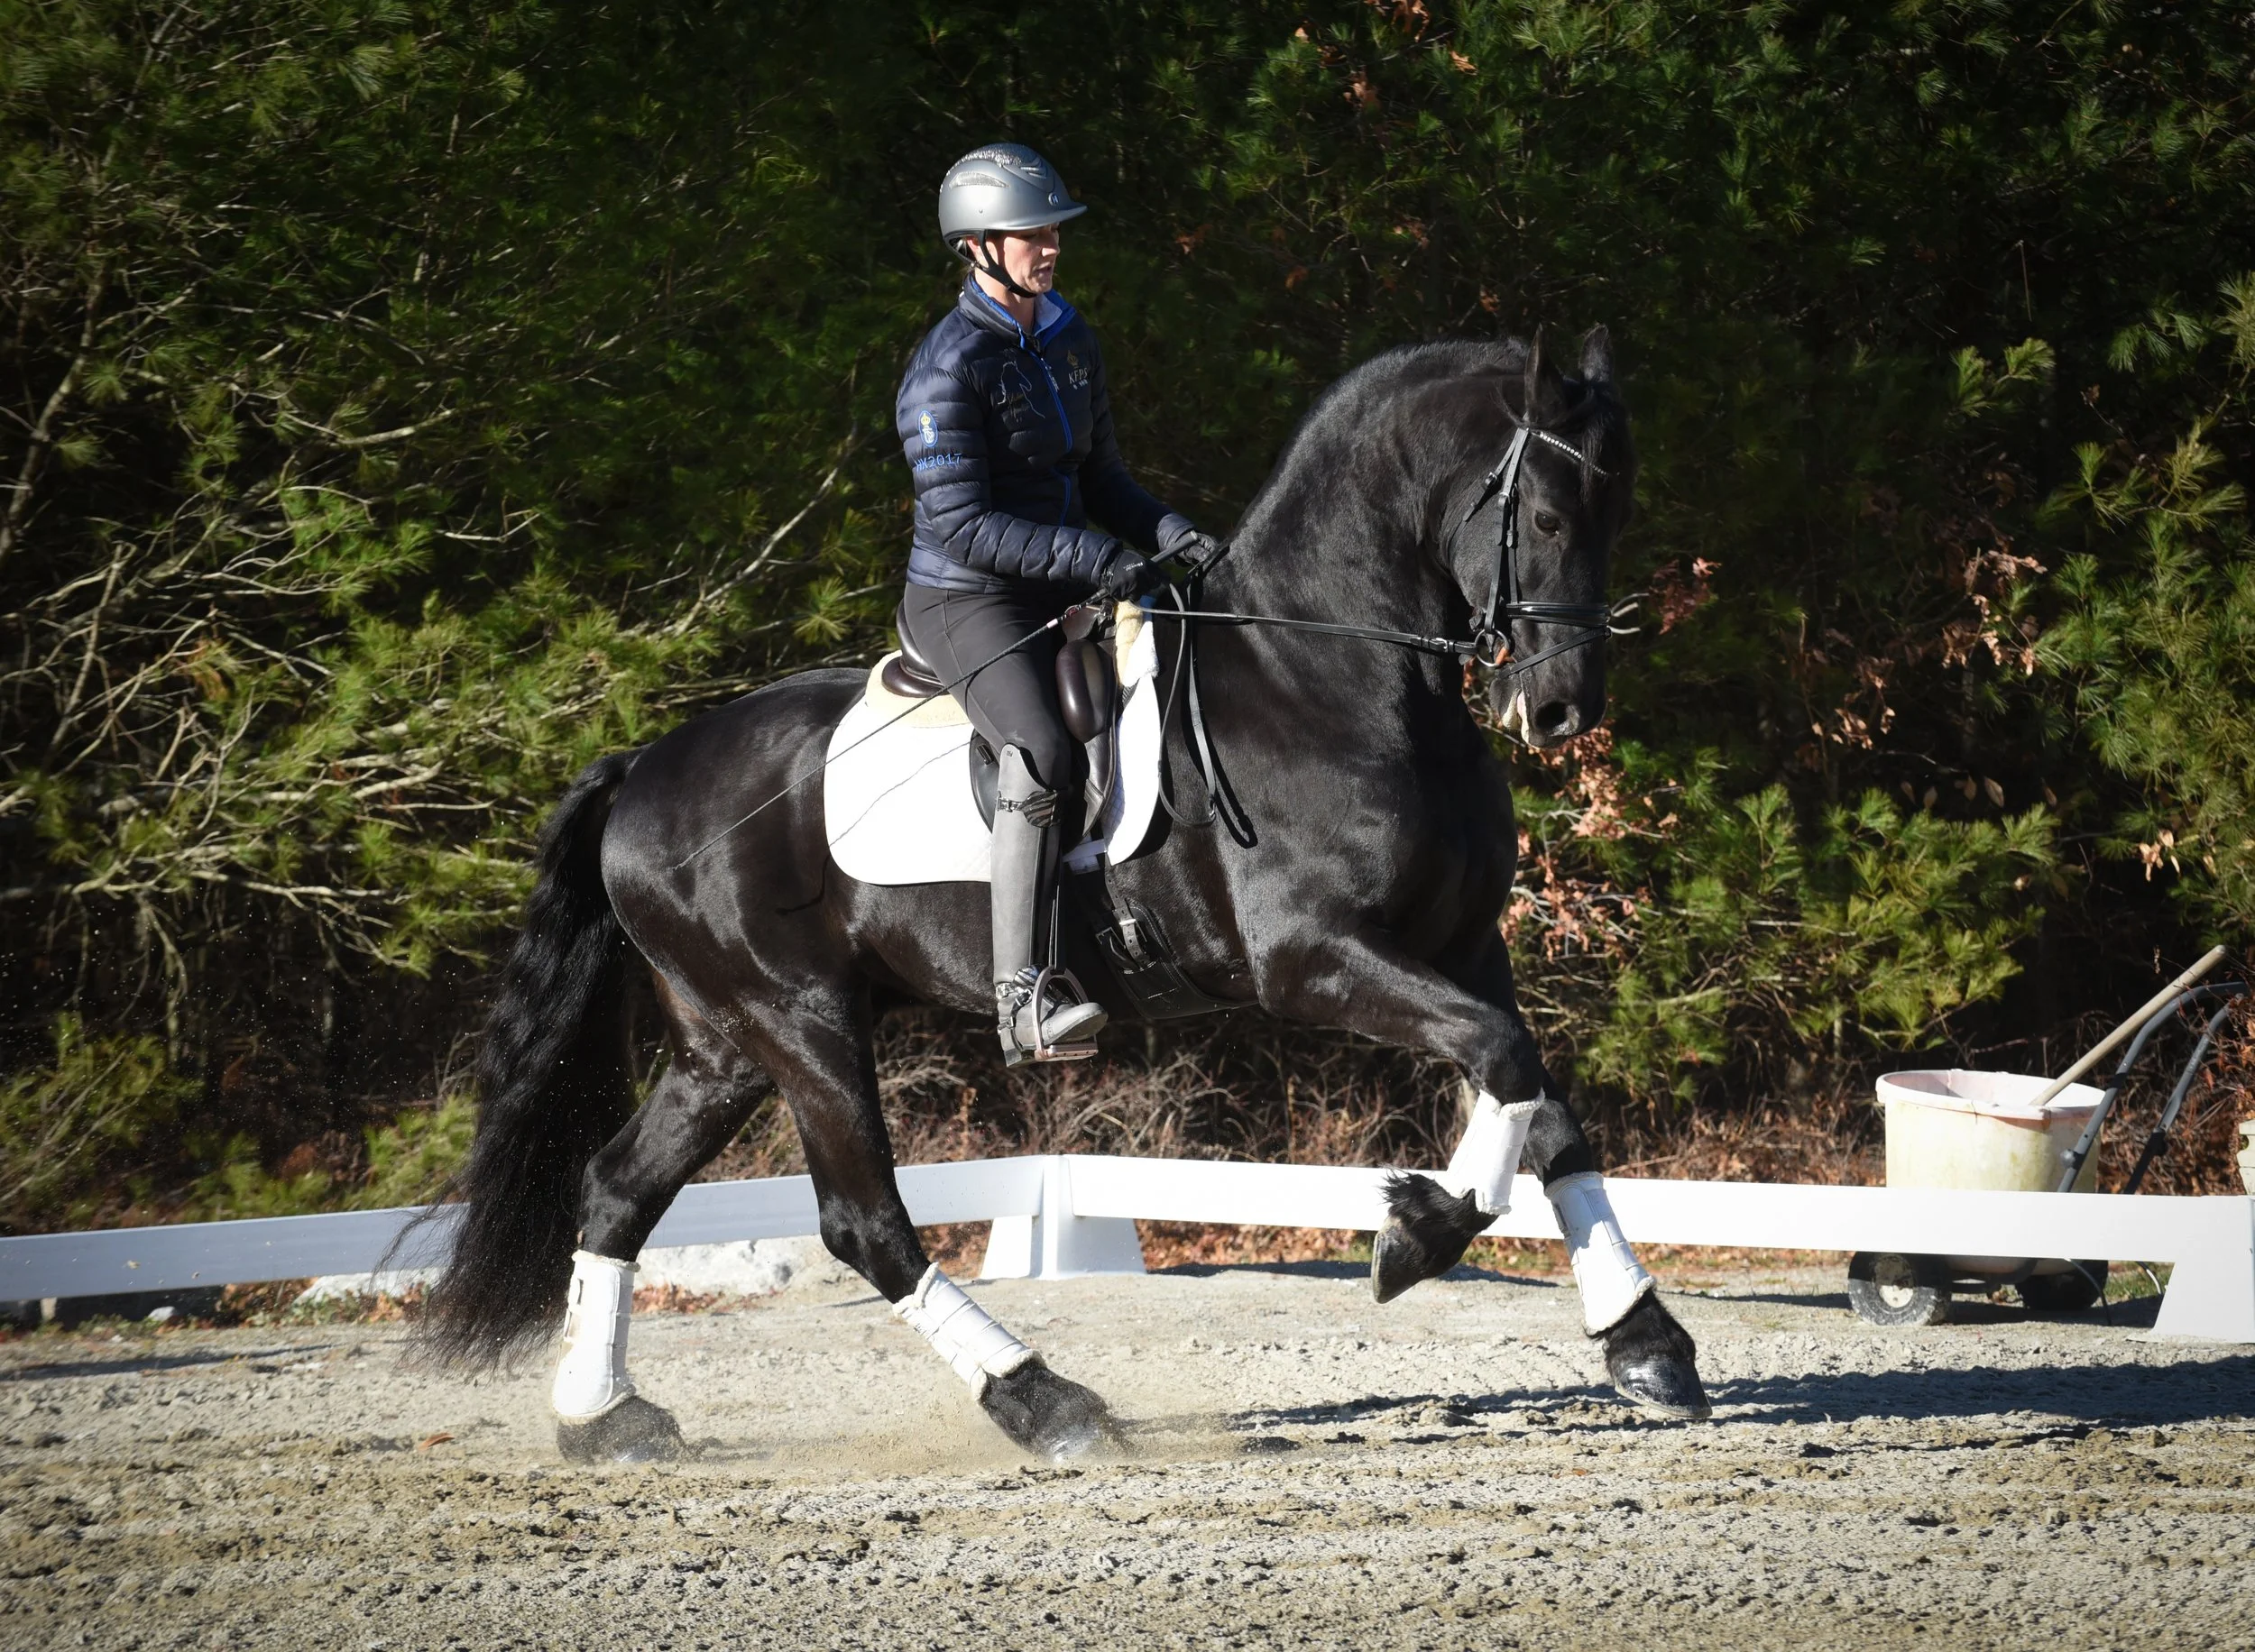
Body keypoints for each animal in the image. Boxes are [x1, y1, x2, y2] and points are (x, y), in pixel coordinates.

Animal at [415, 327, 1711, 1464]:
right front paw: (1417, 1234)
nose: (1560, 710)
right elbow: (1500, 1060)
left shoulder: (1465, 942)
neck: (1329, 672)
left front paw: (1644, 1343)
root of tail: (643, 769)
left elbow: (1540, 1099)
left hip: (724, 1042)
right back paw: (1048, 1405)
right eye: (1545, 515)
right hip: (801, 1021)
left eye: (1616, 514)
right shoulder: (1311, 958)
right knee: (863, 1223)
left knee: (618, 1190)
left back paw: (603, 1419)